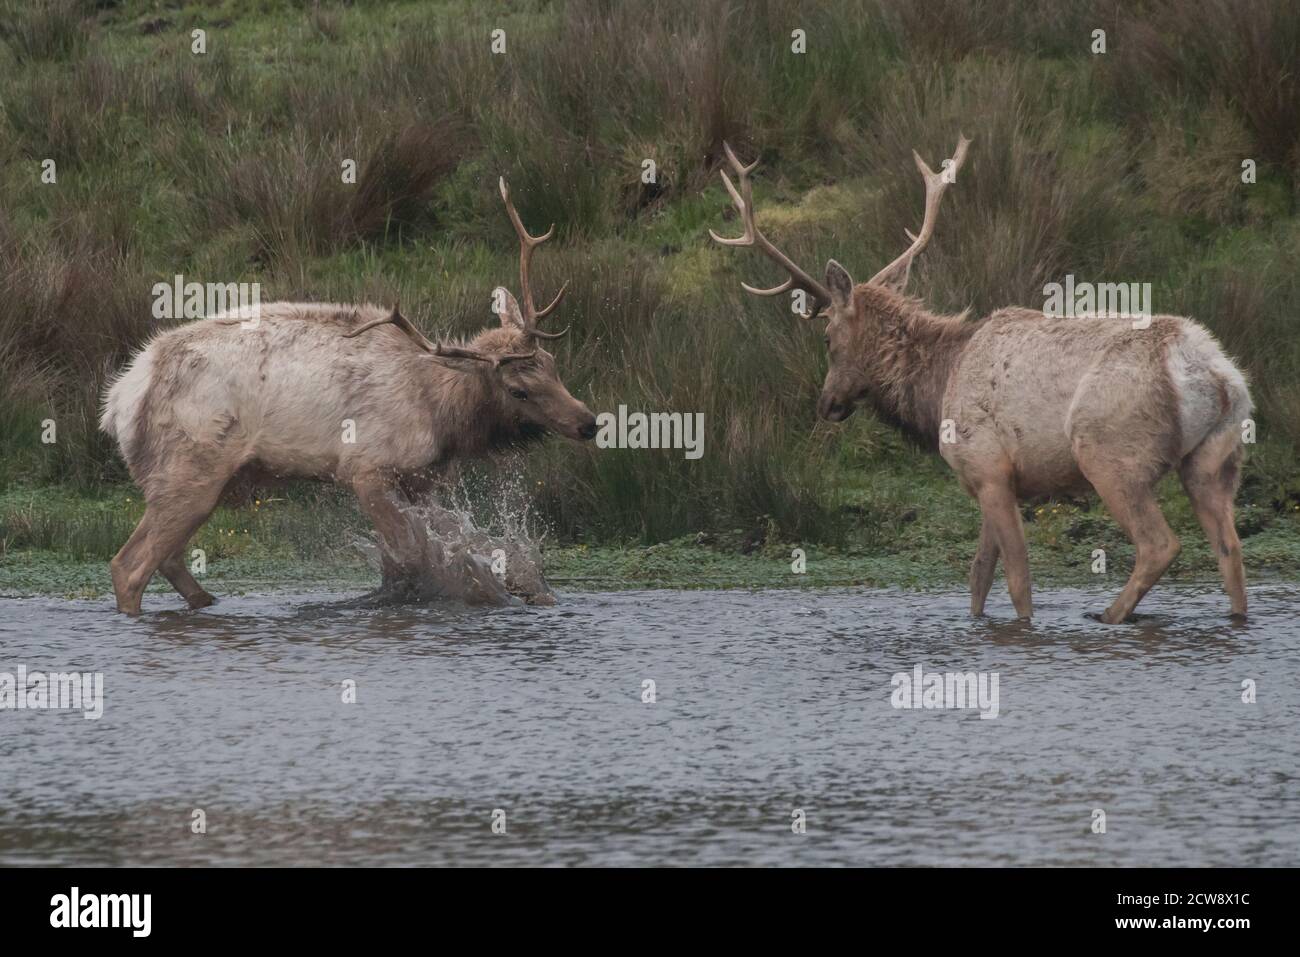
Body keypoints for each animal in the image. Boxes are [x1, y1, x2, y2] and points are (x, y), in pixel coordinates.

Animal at [99, 178, 597, 614]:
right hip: (187, 467)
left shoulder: (422, 479)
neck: (442, 415)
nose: (588, 422)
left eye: (552, 365)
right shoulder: (364, 466)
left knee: (169, 560)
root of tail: (119, 400)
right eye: (518, 390)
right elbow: (411, 555)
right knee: (130, 565)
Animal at [709, 137, 1252, 623]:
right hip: (1216, 458)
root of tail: (1215, 375)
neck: (936, 391)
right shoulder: (992, 476)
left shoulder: (987, 465)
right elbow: (977, 577)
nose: (827, 404)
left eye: (826, 337)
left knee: (1160, 544)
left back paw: (1108, 616)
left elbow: (1016, 581)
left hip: (1112, 453)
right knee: (1232, 555)